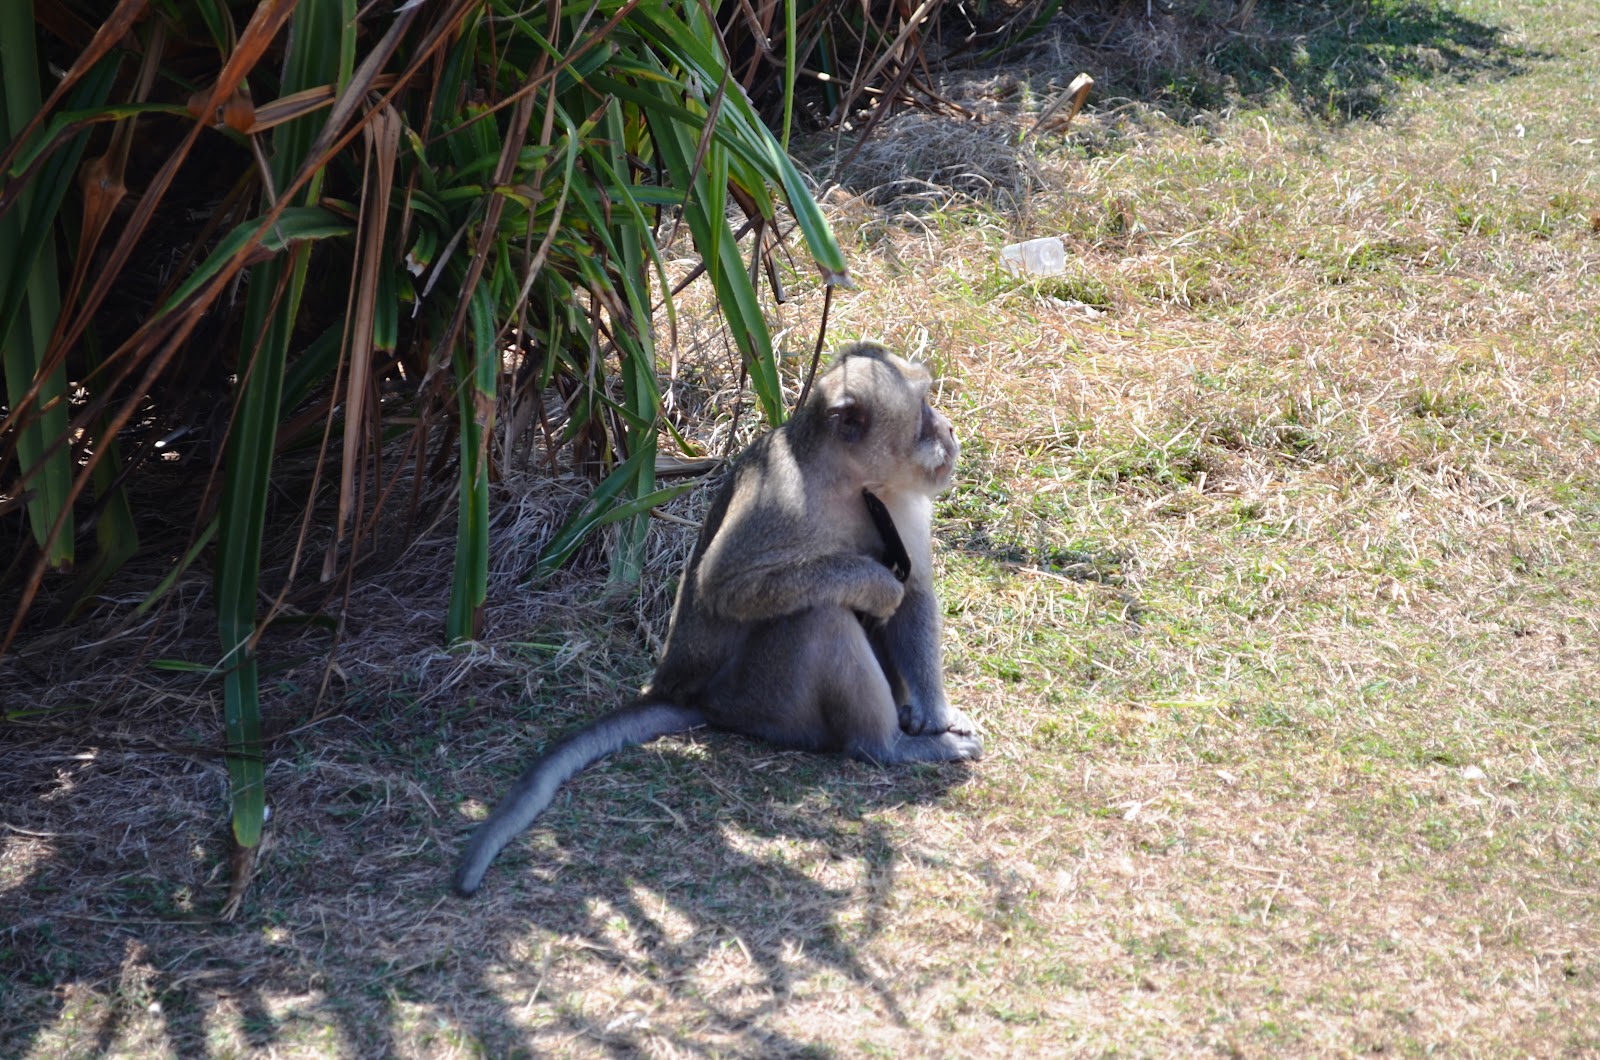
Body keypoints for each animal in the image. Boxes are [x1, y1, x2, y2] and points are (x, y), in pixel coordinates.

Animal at [453, 341, 980, 896]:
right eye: (922, 410)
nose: (948, 429)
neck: (851, 480)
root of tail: (684, 691)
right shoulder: (782, 497)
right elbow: (727, 587)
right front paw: (874, 583)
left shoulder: (897, 500)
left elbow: (915, 595)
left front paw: (936, 715)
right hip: (761, 701)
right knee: (819, 617)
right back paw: (886, 747)